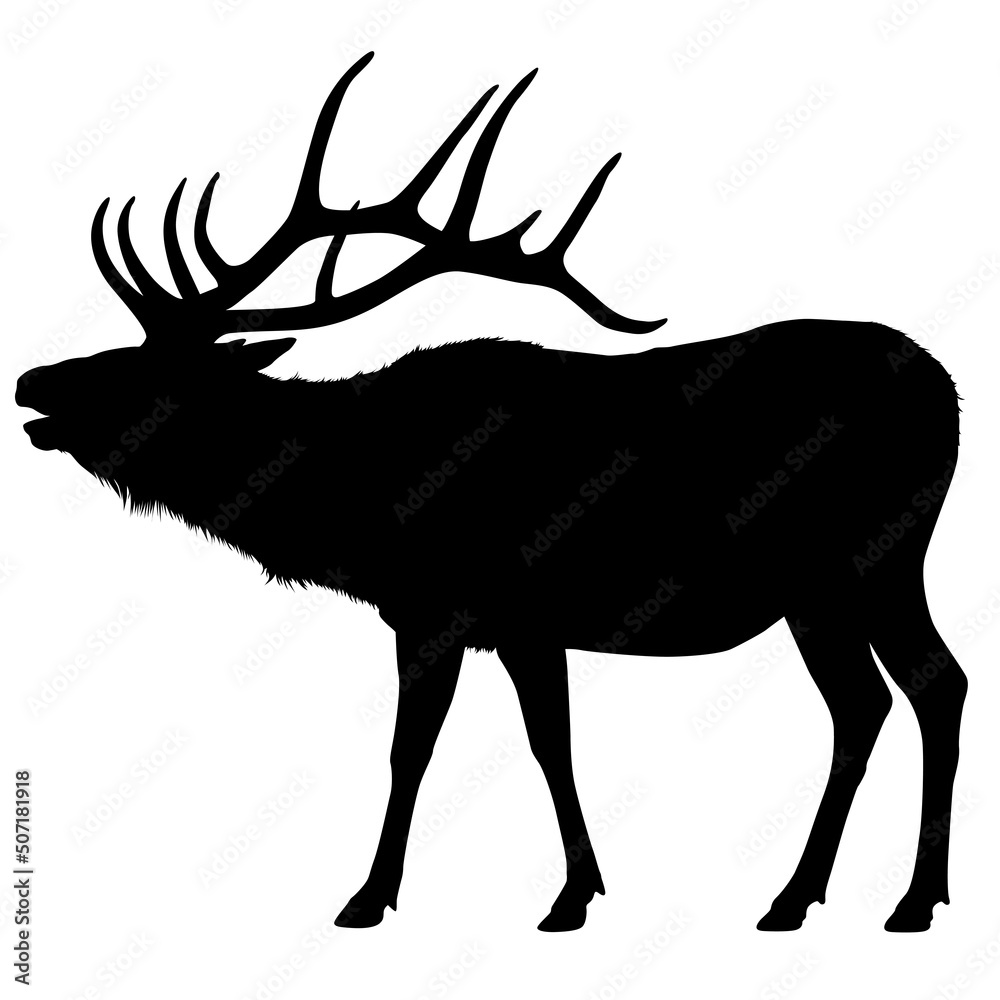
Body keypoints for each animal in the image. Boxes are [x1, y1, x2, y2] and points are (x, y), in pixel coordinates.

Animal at [16, 51, 967, 934]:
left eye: (147, 373)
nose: (31, 381)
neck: (358, 506)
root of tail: (950, 390)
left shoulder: (456, 607)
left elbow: (434, 750)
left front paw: (383, 897)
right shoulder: (508, 624)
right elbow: (544, 744)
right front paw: (576, 889)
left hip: (877, 555)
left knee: (931, 686)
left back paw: (910, 900)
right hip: (820, 591)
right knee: (869, 703)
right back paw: (803, 897)